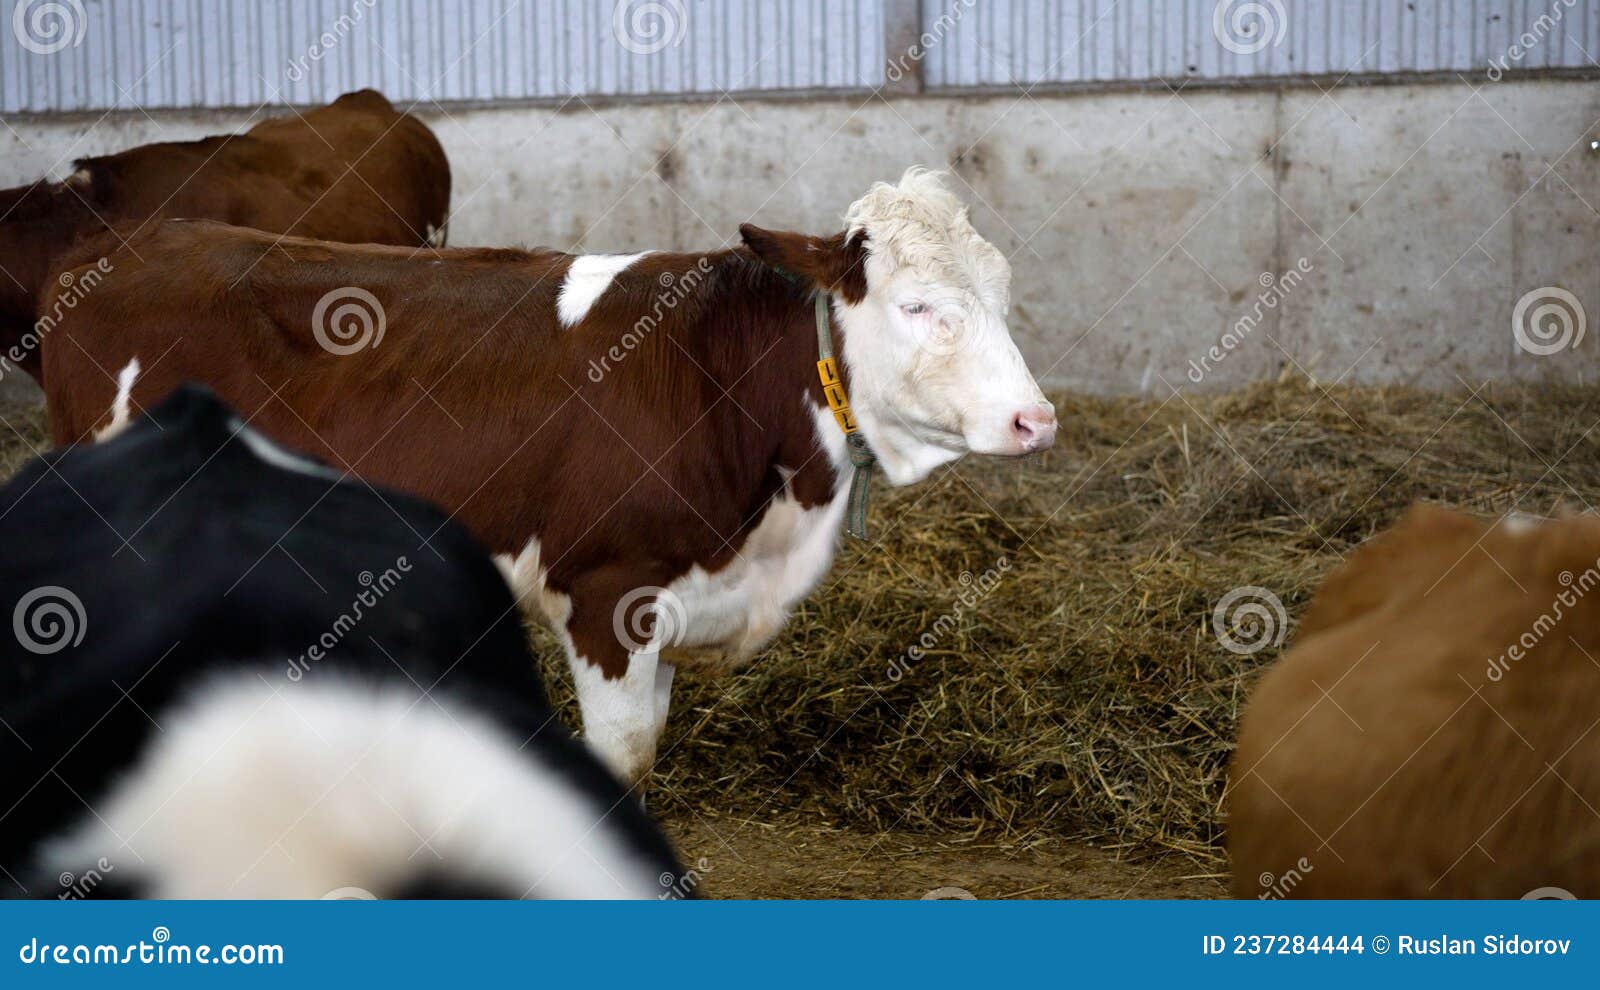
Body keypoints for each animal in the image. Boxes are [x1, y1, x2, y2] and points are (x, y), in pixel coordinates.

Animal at [39, 168, 1057, 790]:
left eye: (1005, 298)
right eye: (916, 306)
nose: (1036, 420)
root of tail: (130, 245)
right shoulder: (606, 591)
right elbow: (621, 760)